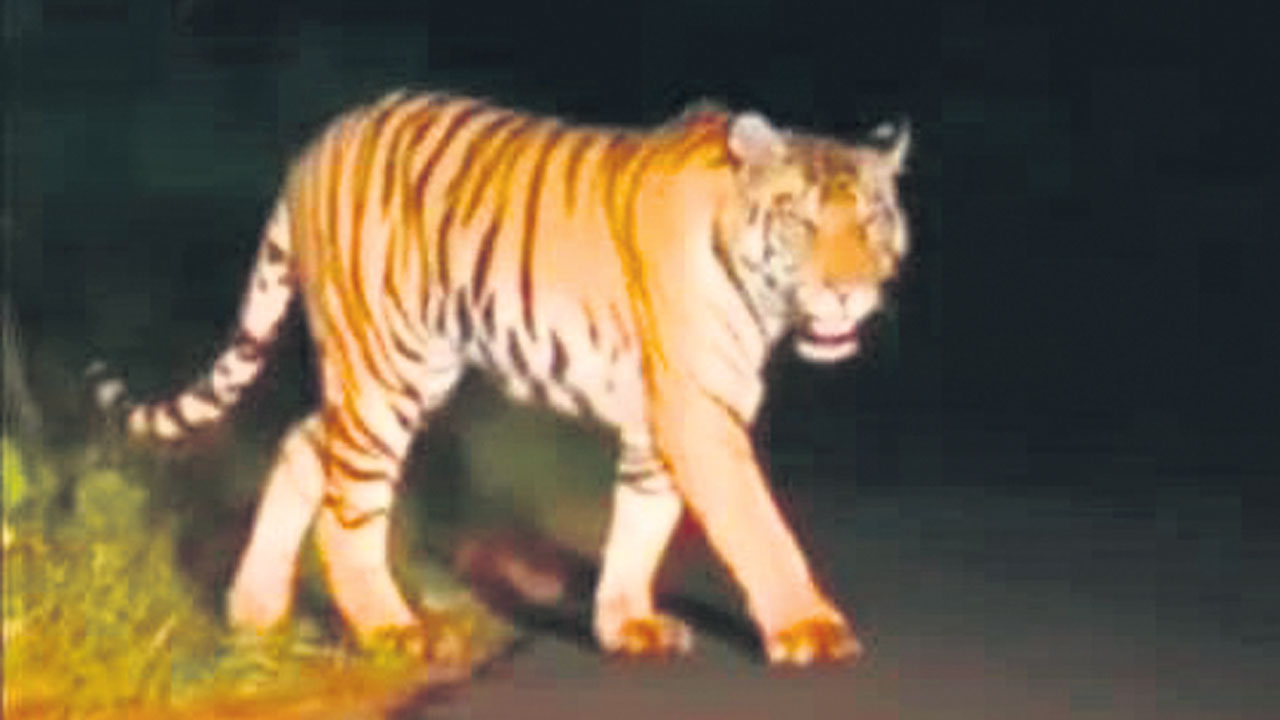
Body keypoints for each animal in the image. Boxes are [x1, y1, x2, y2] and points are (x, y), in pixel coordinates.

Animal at [95, 89, 909, 666]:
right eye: (802, 224)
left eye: (872, 221)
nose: (847, 293)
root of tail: (311, 148)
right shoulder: (698, 409)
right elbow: (759, 526)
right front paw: (810, 628)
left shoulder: (661, 420)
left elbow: (641, 523)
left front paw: (625, 624)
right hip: (382, 370)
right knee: (346, 510)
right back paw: (389, 631)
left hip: (399, 370)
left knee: (301, 445)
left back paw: (255, 613)